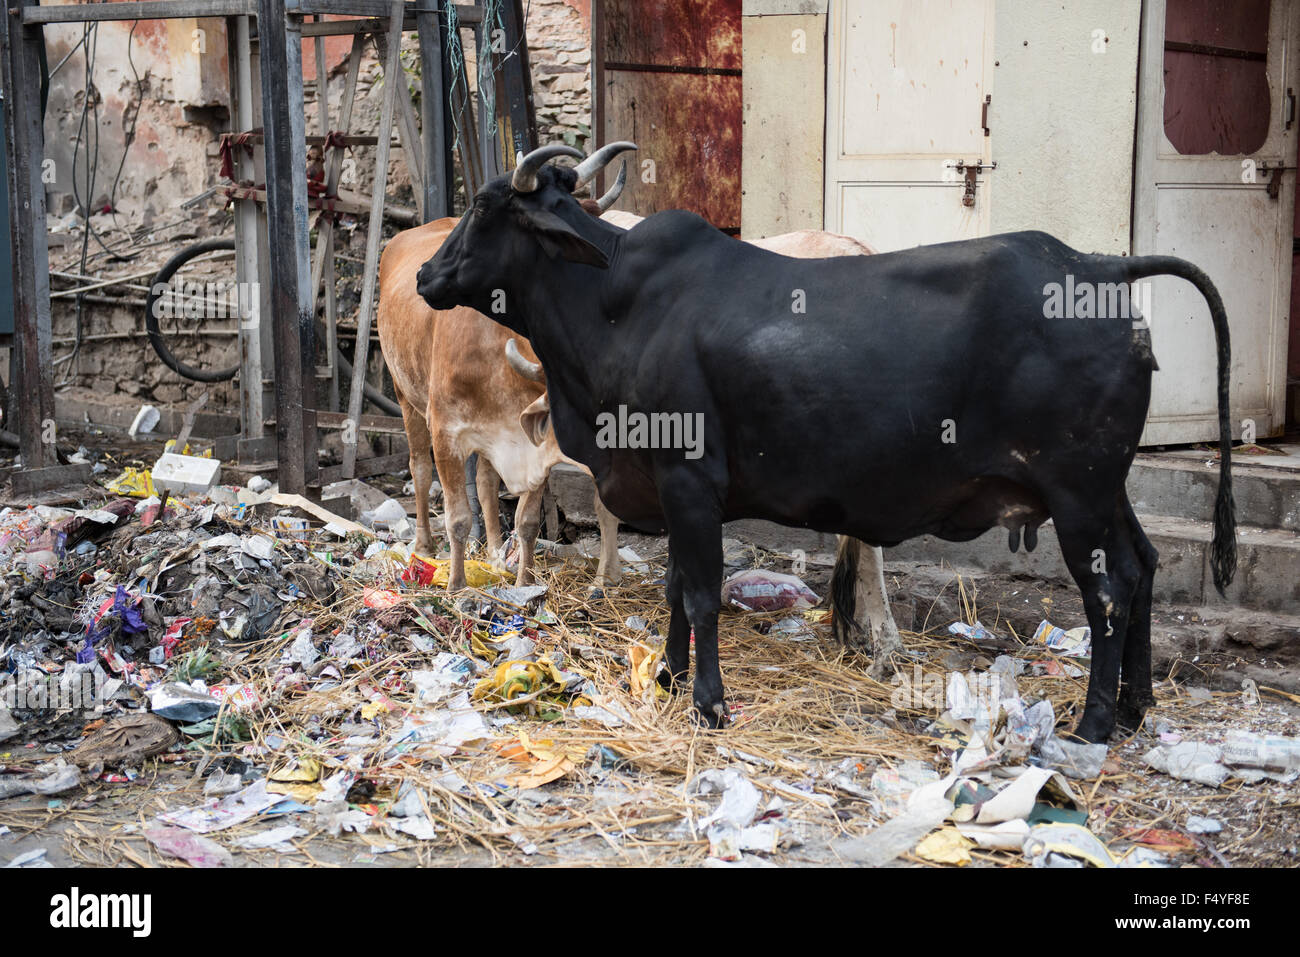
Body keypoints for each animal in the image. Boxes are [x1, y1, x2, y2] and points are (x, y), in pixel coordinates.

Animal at [375, 157, 631, 592]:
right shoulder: (445, 431)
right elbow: (458, 518)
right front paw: (456, 586)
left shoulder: (534, 439)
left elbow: (526, 521)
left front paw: (524, 581)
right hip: (404, 393)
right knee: (420, 470)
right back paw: (424, 545)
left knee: (486, 483)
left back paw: (495, 551)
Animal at [416, 143, 1237, 743]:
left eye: (484, 205)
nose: (425, 272)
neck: (613, 307)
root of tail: (1097, 265)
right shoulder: (671, 490)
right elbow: (677, 587)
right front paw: (670, 679)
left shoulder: (689, 481)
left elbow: (702, 592)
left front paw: (708, 702)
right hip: (1107, 489)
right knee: (1146, 563)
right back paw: (1134, 707)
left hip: (1078, 493)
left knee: (1111, 587)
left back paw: (1095, 721)